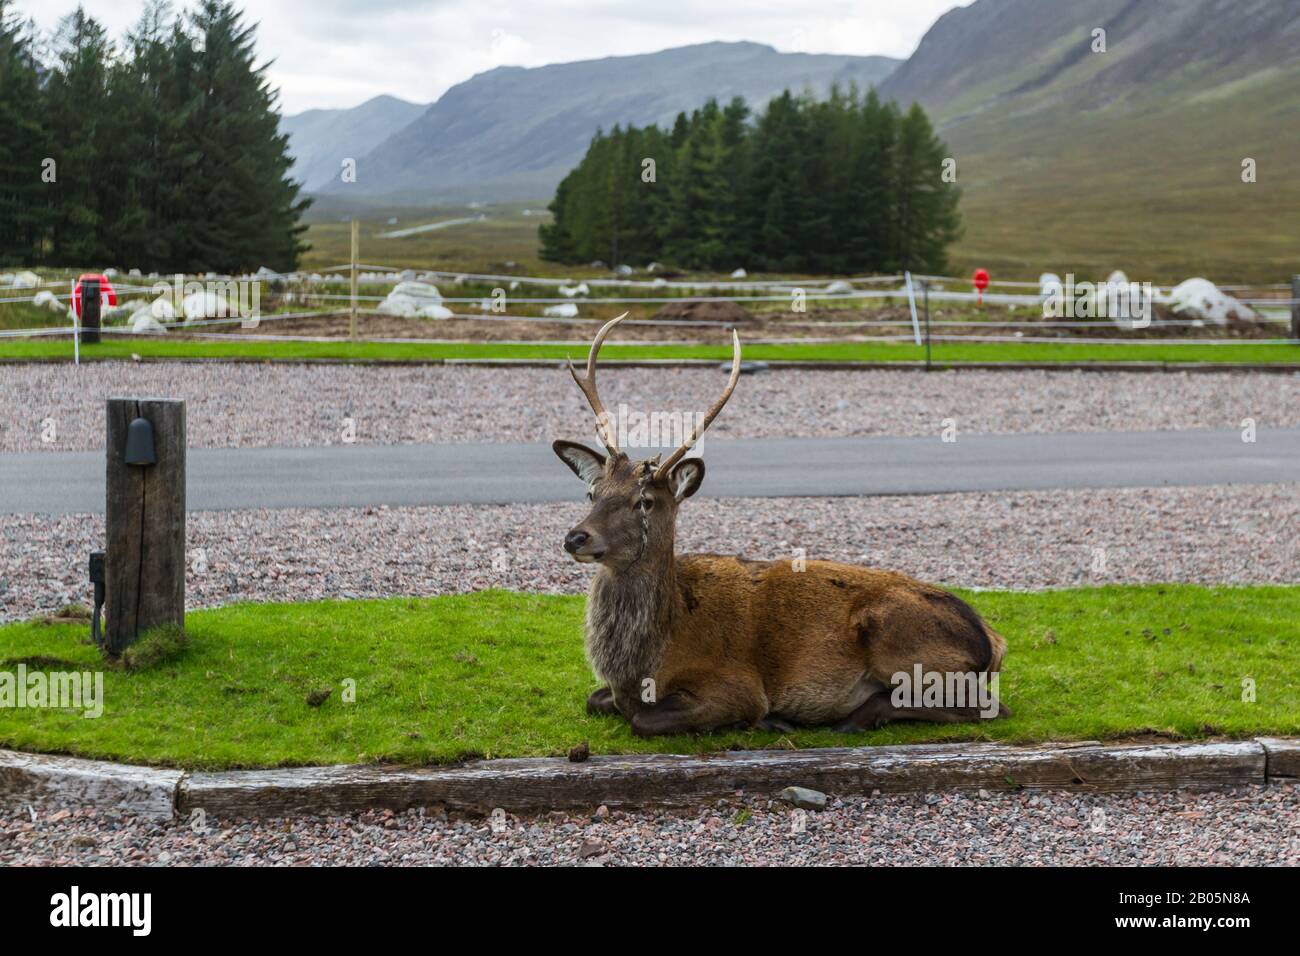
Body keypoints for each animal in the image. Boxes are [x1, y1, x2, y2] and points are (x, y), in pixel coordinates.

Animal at [552, 314, 1008, 737]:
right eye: (593, 493)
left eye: (644, 501)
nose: (576, 537)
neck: (644, 665)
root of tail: (994, 642)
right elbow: (596, 700)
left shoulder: (736, 685)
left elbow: (643, 720)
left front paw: (767, 719)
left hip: (903, 646)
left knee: (989, 708)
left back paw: (843, 717)